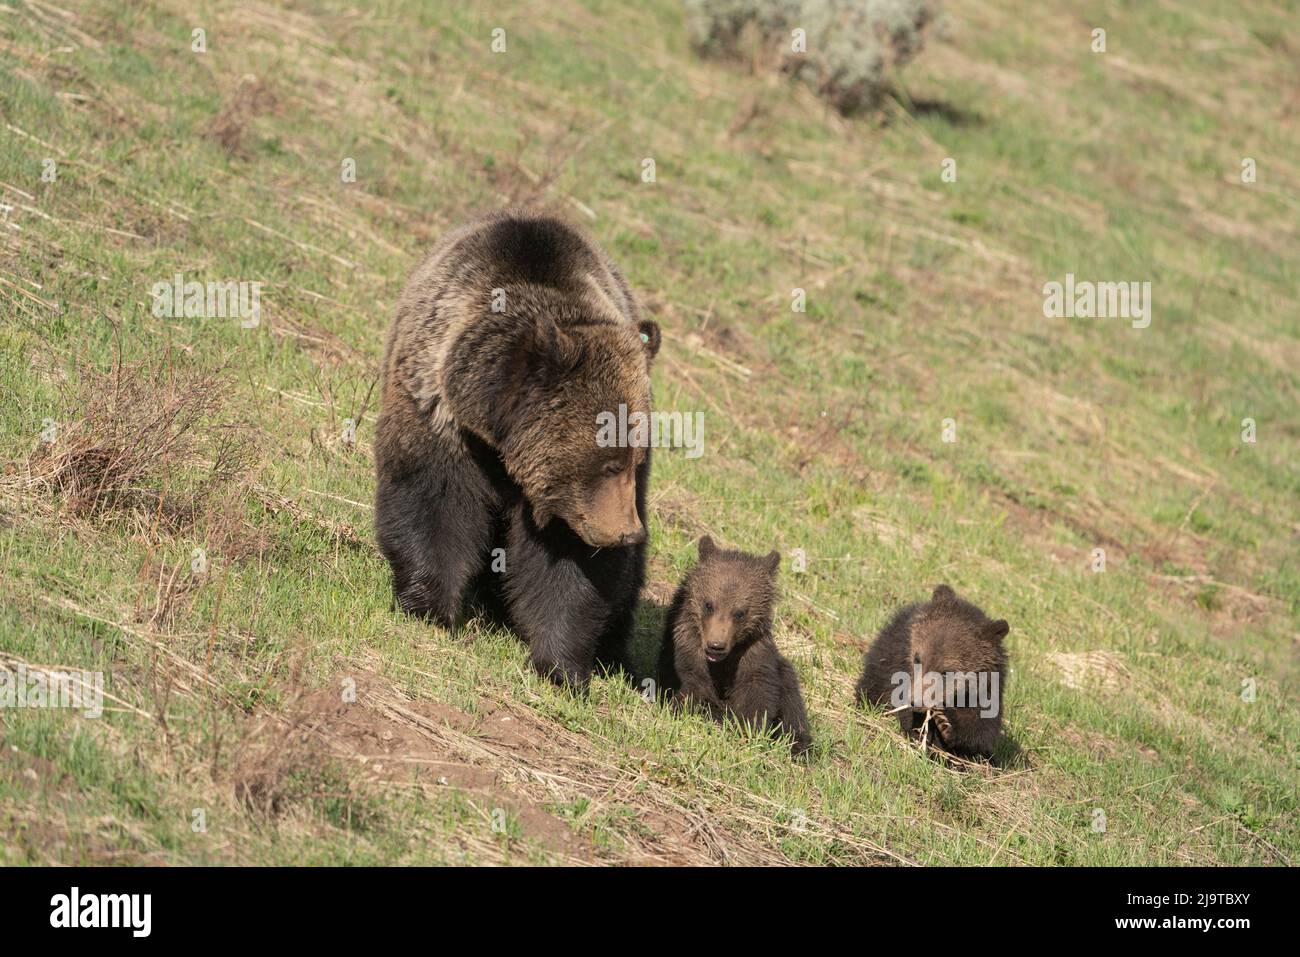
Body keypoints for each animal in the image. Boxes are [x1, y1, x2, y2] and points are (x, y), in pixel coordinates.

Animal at [373, 209, 661, 688]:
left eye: (634, 461)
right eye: (609, 463)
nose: (627, 532)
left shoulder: (566, 502)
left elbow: (571, 566)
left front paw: (560, 666)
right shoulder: (440, 416)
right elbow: (432, 502)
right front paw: (429, 606)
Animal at [658, 536, 812, 758]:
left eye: (739, 613)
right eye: (708, 604)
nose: (716, 646)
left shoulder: (753, 650)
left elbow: (757, 690)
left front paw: (747, 727)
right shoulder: (686, 638)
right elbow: (692, 681)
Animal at [854, 584, 1009, 759]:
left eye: (947, 672)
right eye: (917, 658)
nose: (915, 701)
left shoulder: (989, 688)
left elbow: (982, 729)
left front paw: (945, 724)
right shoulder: (899, 665)